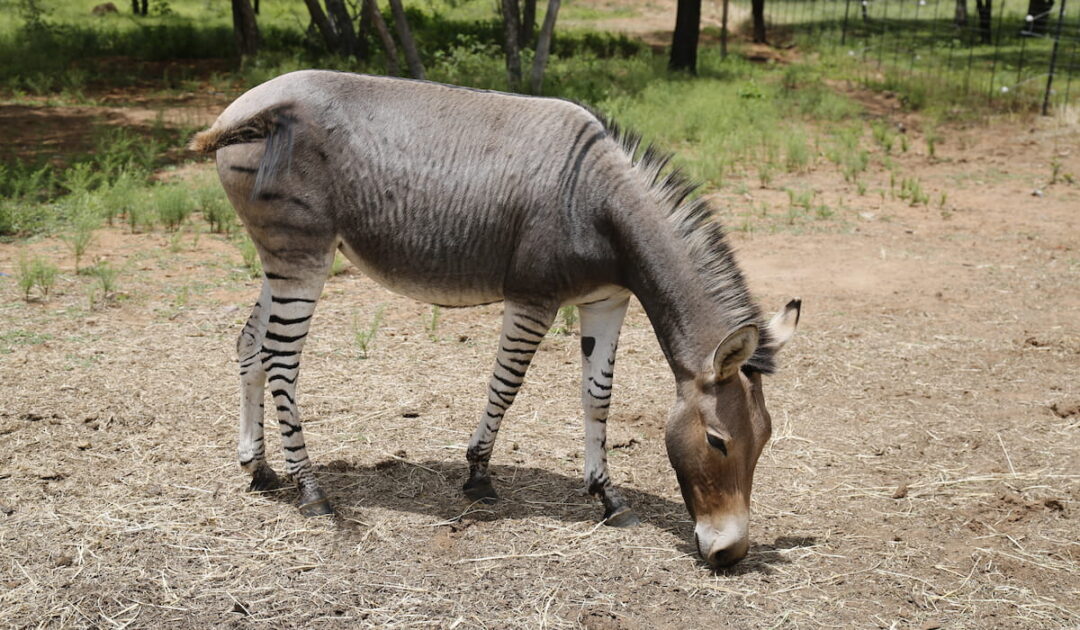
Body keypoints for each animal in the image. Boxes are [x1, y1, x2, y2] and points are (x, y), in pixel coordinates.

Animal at [190, 70, 800, 569]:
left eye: (765, 440)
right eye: (718, 442)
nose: (731, 555)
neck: (602, 208)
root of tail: (248, 103)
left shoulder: (606, 300)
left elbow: (597, 397)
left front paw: (608, 496)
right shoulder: (533, 297)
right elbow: (507, 385)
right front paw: (478, 473)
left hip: (278, 259)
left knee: (249, 345)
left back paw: (259, 469)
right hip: (303, 254)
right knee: (281, 358)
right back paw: (311, 490)